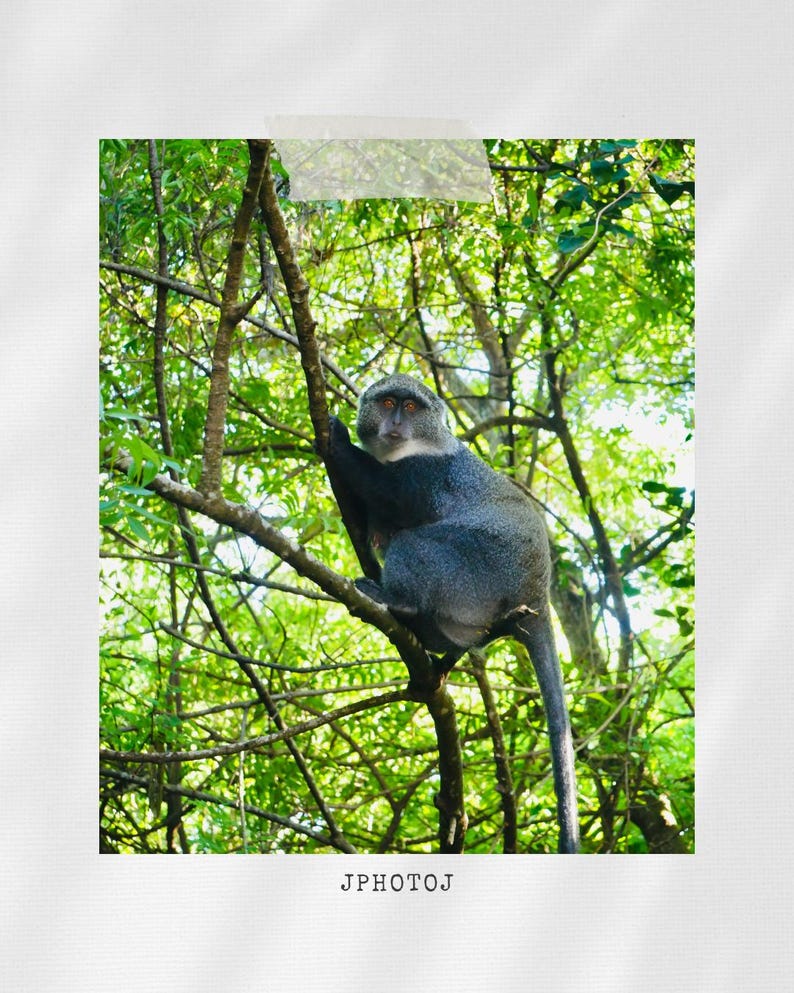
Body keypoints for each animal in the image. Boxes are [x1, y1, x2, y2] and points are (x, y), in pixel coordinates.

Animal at [325, 373, 579, 854]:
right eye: (387, 402)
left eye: (410, 407)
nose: (394, 423)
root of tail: (537, 592)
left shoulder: (431, 474)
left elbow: (396, 496)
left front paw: (337, 438)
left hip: (477, 565)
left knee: (415, 545)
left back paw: (395, 600)